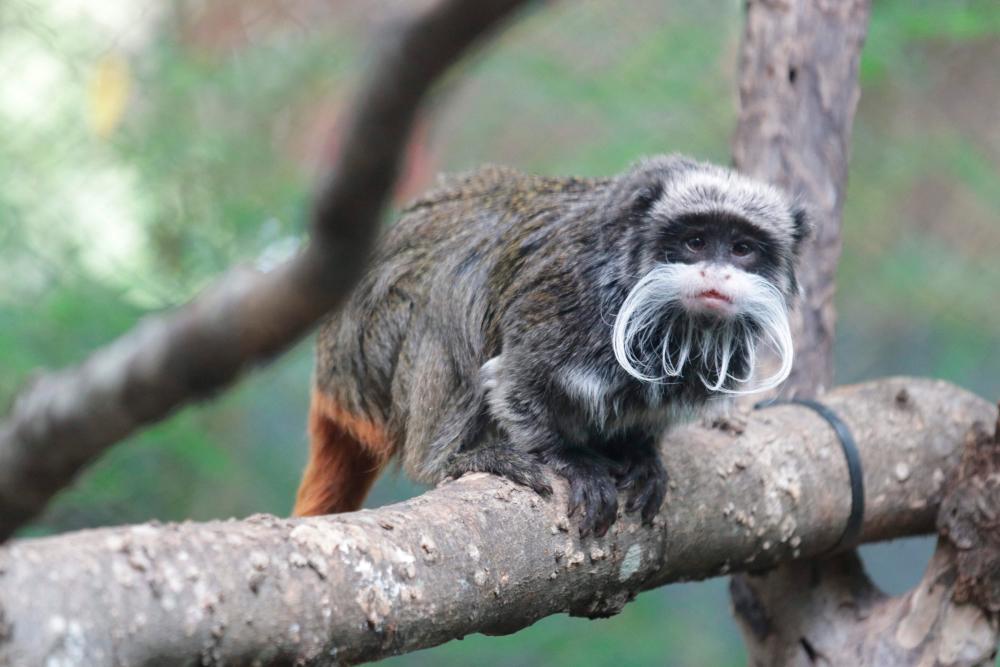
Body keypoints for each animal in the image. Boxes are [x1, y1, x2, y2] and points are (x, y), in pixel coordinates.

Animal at [293, 154, 809, 537]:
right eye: (695, 241)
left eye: (742, 249)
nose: (717, 274)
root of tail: (330, 373)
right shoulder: (564, 301)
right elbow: (514, 383)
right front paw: (571, 460)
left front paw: (641, 454)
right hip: (370, 353)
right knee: (451, 292)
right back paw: (450, 458)